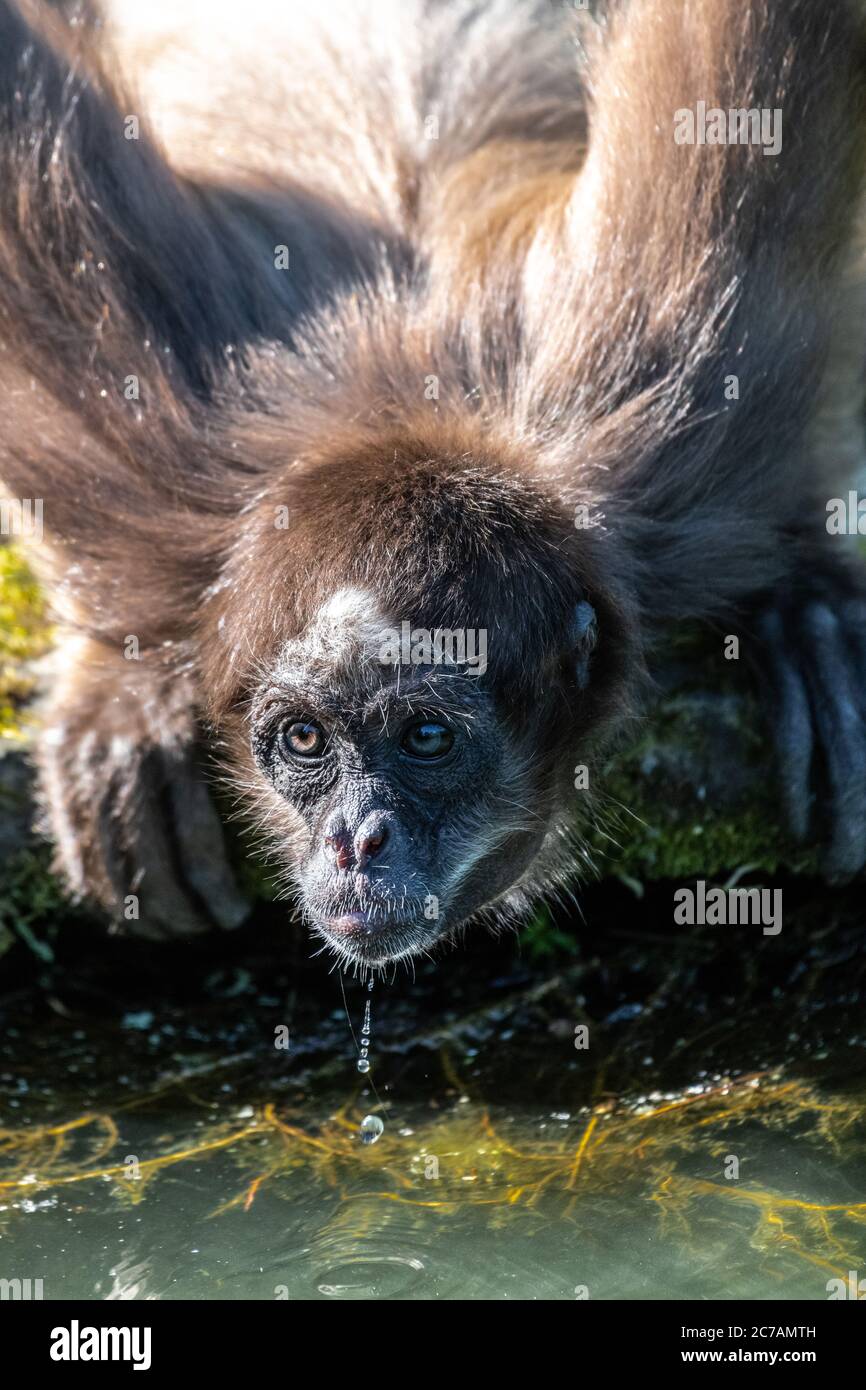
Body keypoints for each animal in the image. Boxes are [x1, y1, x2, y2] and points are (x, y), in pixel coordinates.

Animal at [2, 0, 866, 970]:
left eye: (426, 737)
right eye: (304, 738)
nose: (356, 841)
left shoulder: (697, 393)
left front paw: (797, 587)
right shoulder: (142, 461)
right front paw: (124, 678)